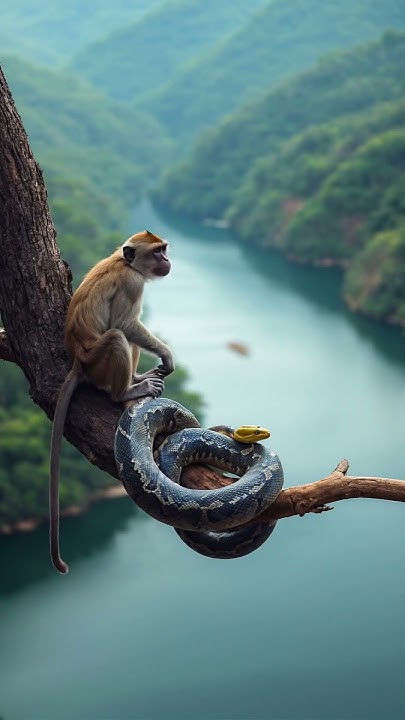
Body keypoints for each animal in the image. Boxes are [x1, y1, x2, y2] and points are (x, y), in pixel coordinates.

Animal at [49, 230, 174, 575]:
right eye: (157, 252)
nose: (167, 260)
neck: (124, 262)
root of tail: (79, 362)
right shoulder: (133, 283)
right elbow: (126, 324)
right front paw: (167, 354)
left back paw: (136, 378)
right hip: (99, 363)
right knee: (120, 335)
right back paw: (125, 392)